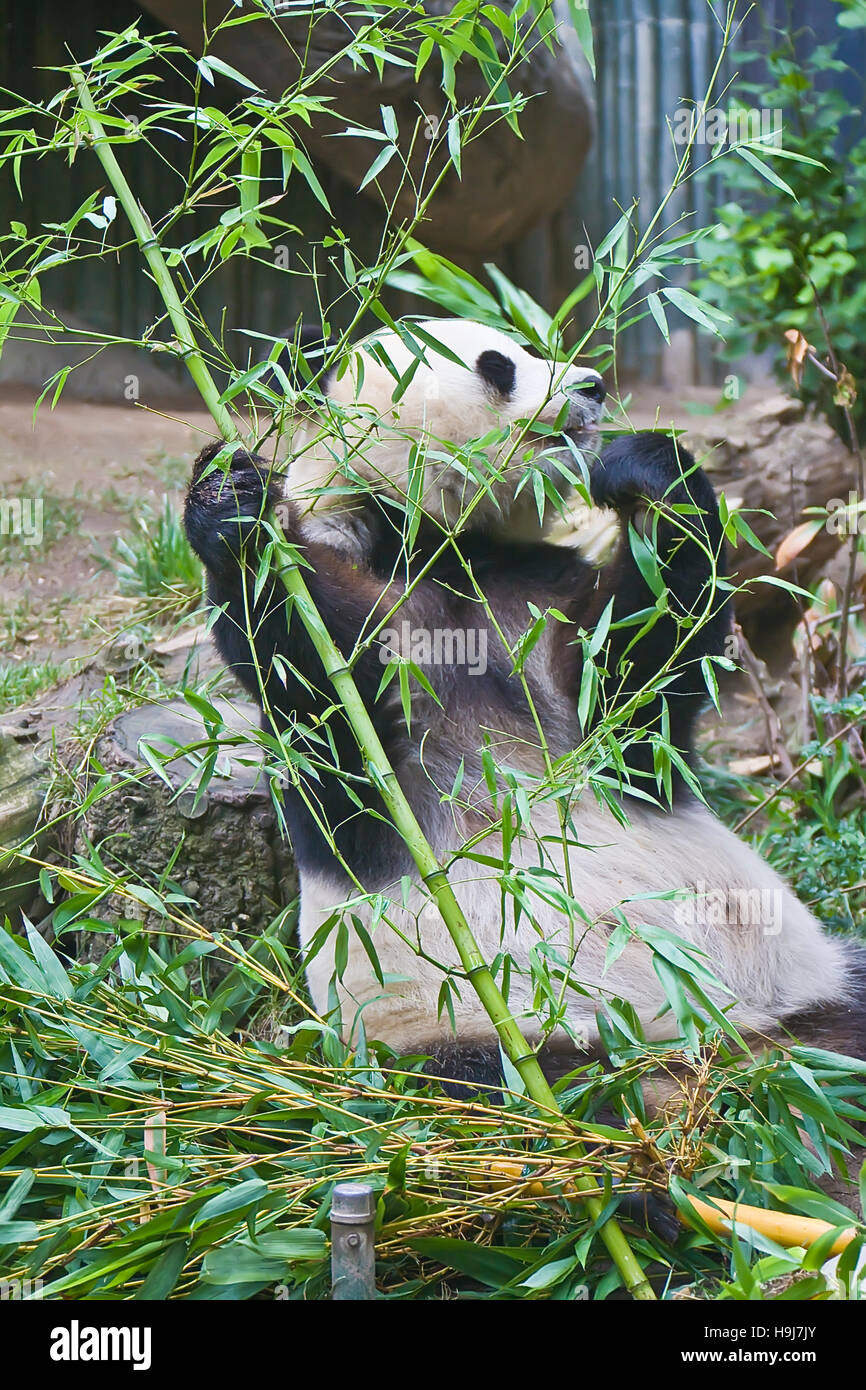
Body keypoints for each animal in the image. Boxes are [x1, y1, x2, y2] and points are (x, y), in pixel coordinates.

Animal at [183, 317, 866, 1096]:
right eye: (498, 365)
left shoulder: (540, 596)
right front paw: (231, 496)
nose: (592, 386)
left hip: (813, 986)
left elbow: (640, 688)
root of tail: (729, 1056)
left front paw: (640, 470)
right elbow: (322, 709)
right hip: (479, 1039)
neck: (444, 543)